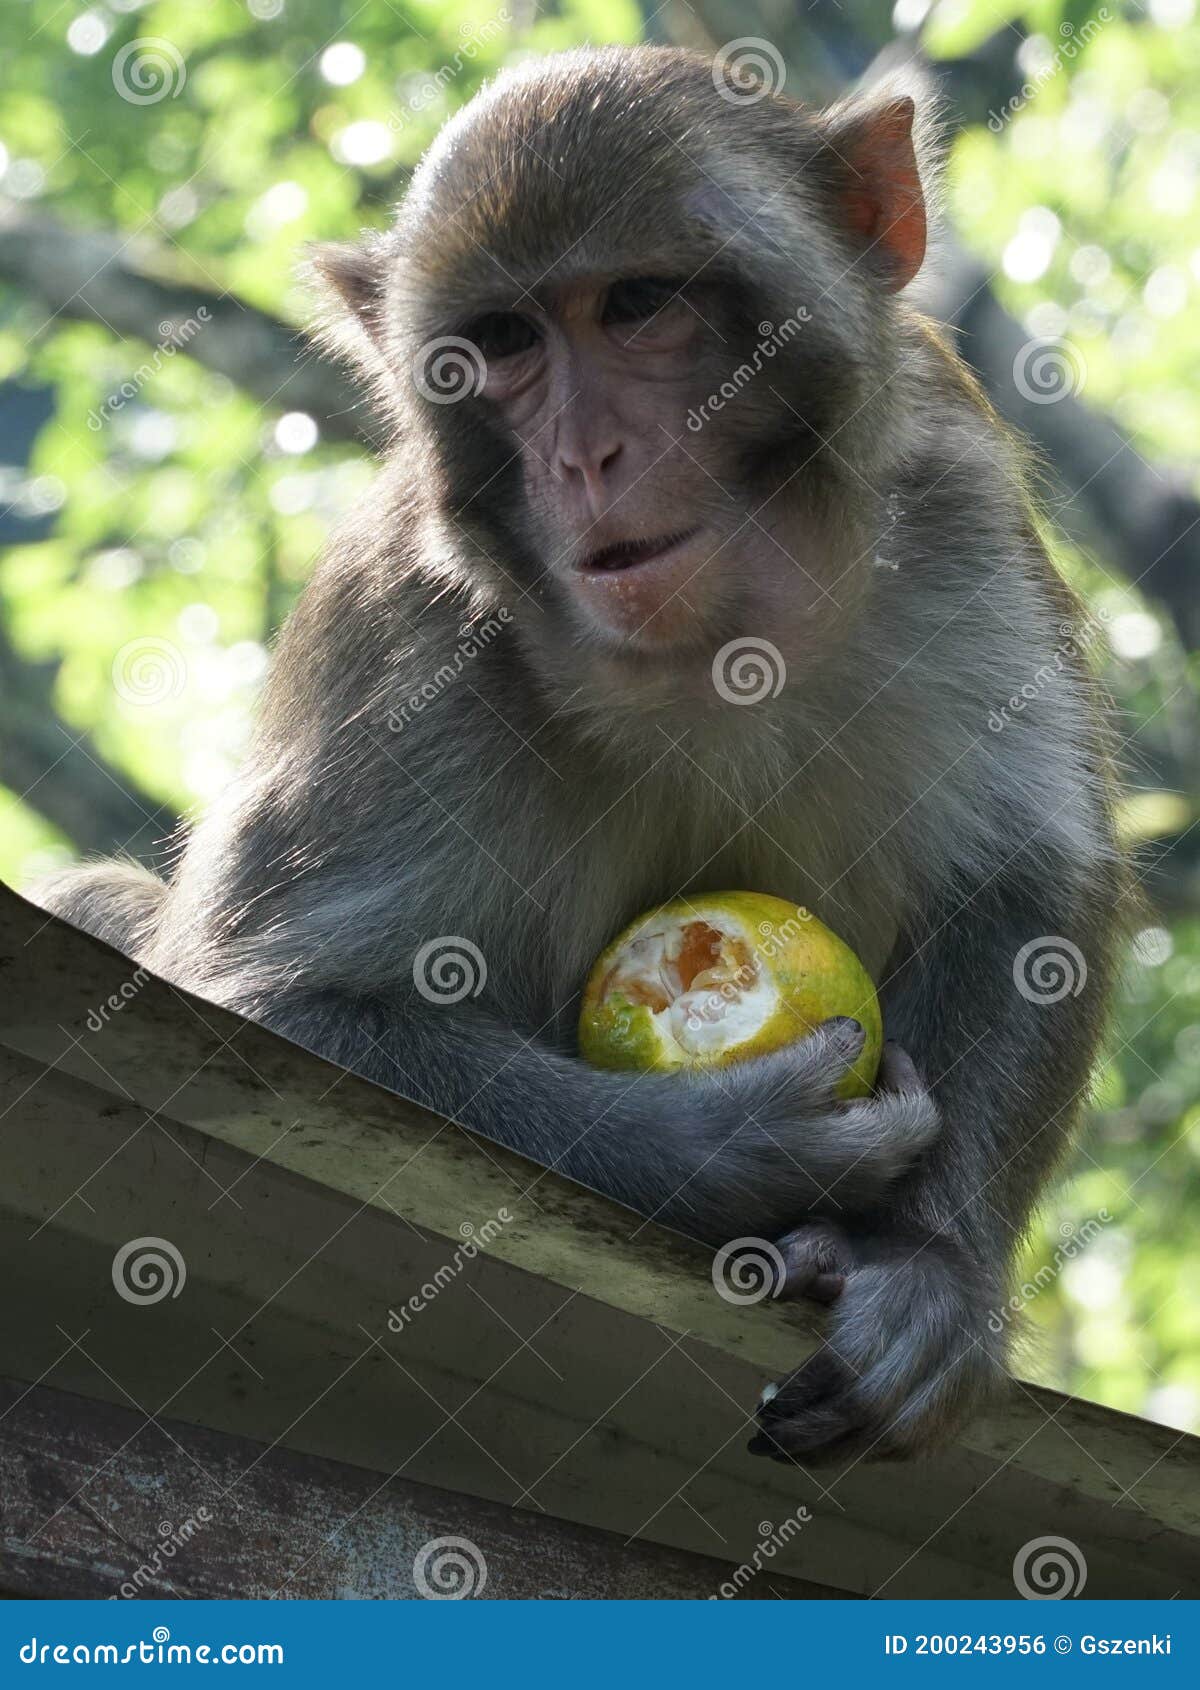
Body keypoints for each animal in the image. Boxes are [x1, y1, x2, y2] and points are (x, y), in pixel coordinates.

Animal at [31, 46, 1124, 1463]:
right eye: (501, 345)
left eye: (639, 304)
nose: (581, 458)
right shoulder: (410, 616)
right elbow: (270, 1006)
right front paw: (718, 1145)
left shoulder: (959, 502)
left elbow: (1027, 887)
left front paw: (927, 1263)